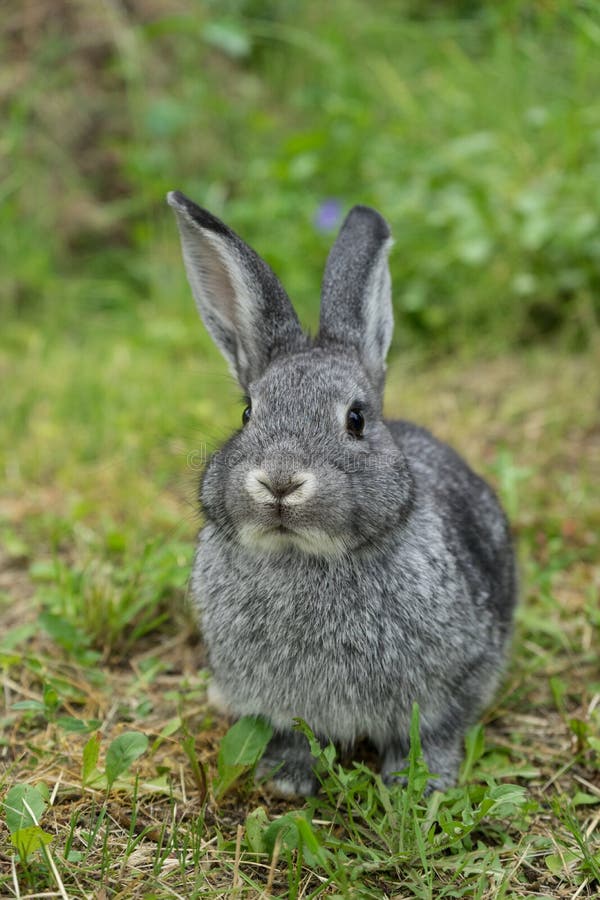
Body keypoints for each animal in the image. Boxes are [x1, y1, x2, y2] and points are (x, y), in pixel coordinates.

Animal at [167, 190, 517, 797]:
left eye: (356, 419)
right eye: (248, 413)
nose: (280, 480)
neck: (304, 557)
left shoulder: (453, 682)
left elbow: (434, 732)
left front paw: (420, 783)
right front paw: (285, 779)